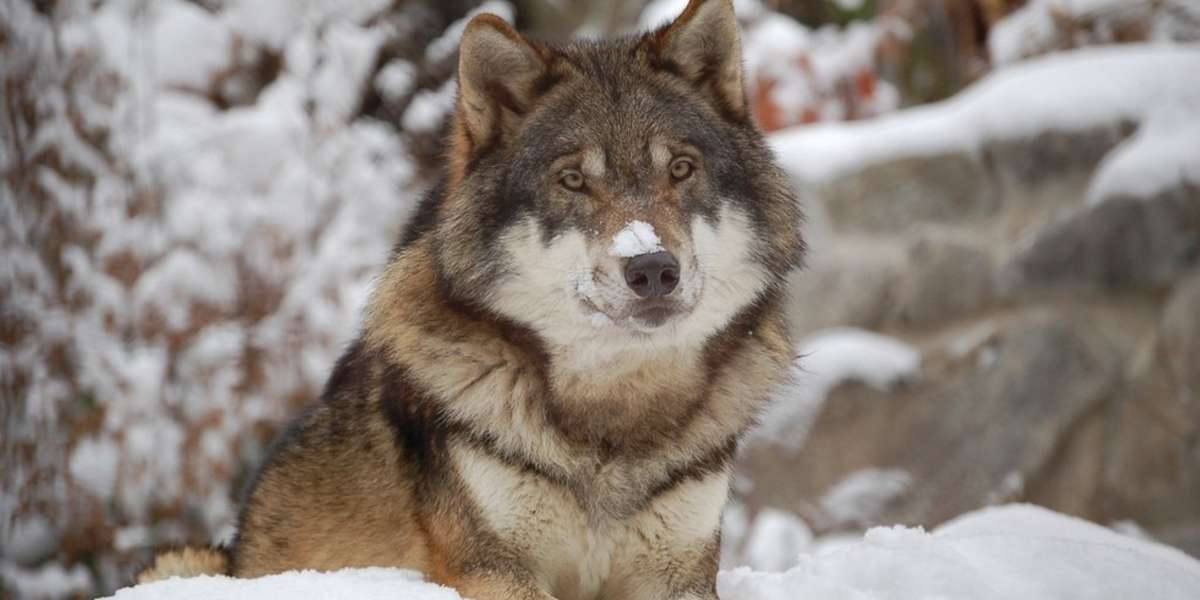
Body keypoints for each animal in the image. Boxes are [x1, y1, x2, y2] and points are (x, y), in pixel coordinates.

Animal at [138, 0, 804, 597]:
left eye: (681, 170)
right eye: (572, 180)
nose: (653, 268)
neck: (612, 419)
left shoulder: (679, 573)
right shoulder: (490, 567)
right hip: (183, 562)